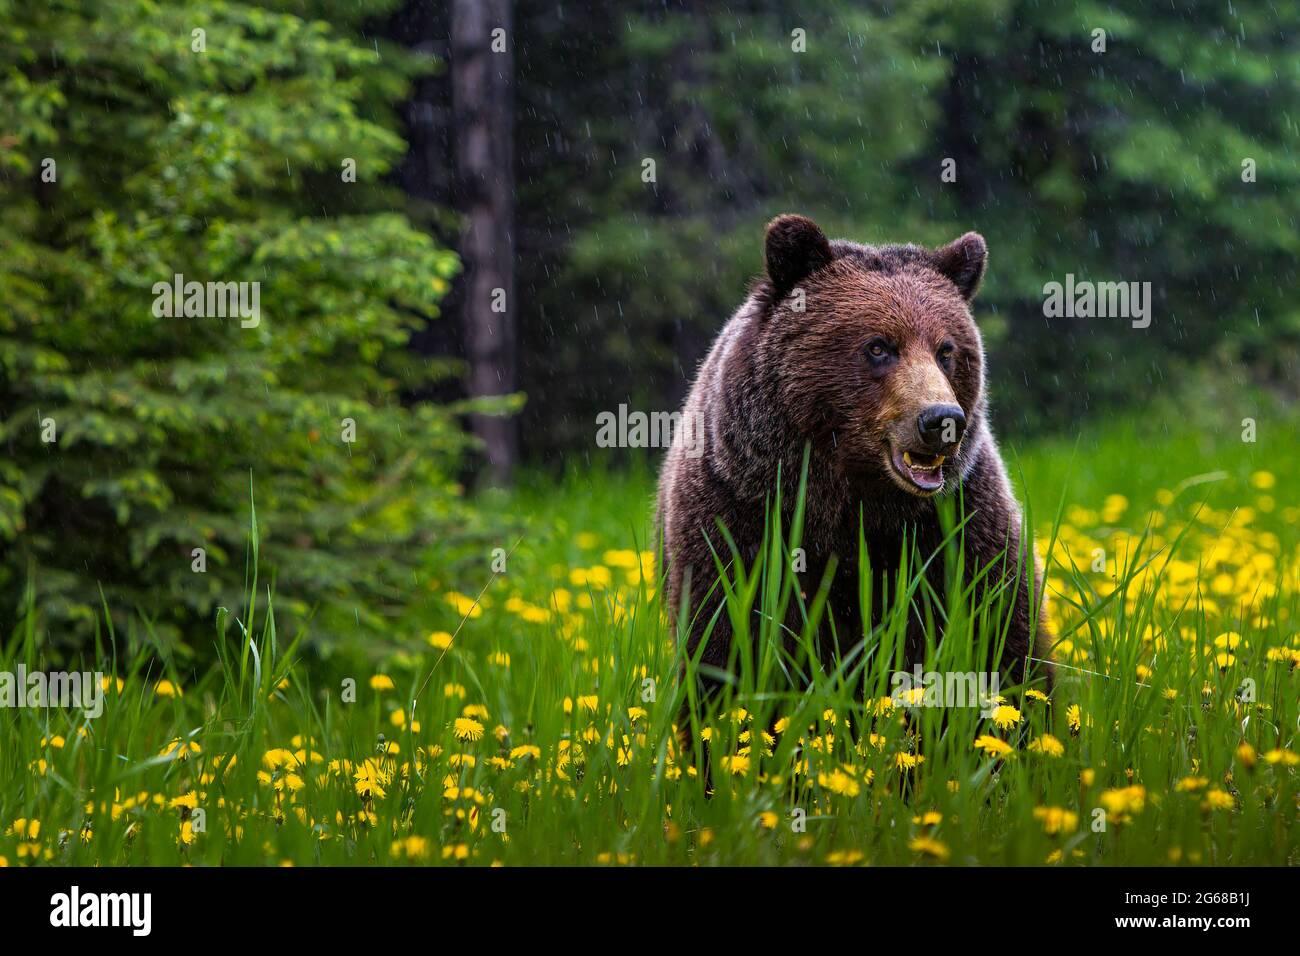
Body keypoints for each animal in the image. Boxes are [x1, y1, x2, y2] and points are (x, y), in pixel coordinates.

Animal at [656, 213, 1053, 730]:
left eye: (946, 350)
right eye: (879, 346)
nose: (942, 419)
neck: (850, 502)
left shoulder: (956, 524)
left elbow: (999, 639)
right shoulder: (738, 516)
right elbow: (726, 650)